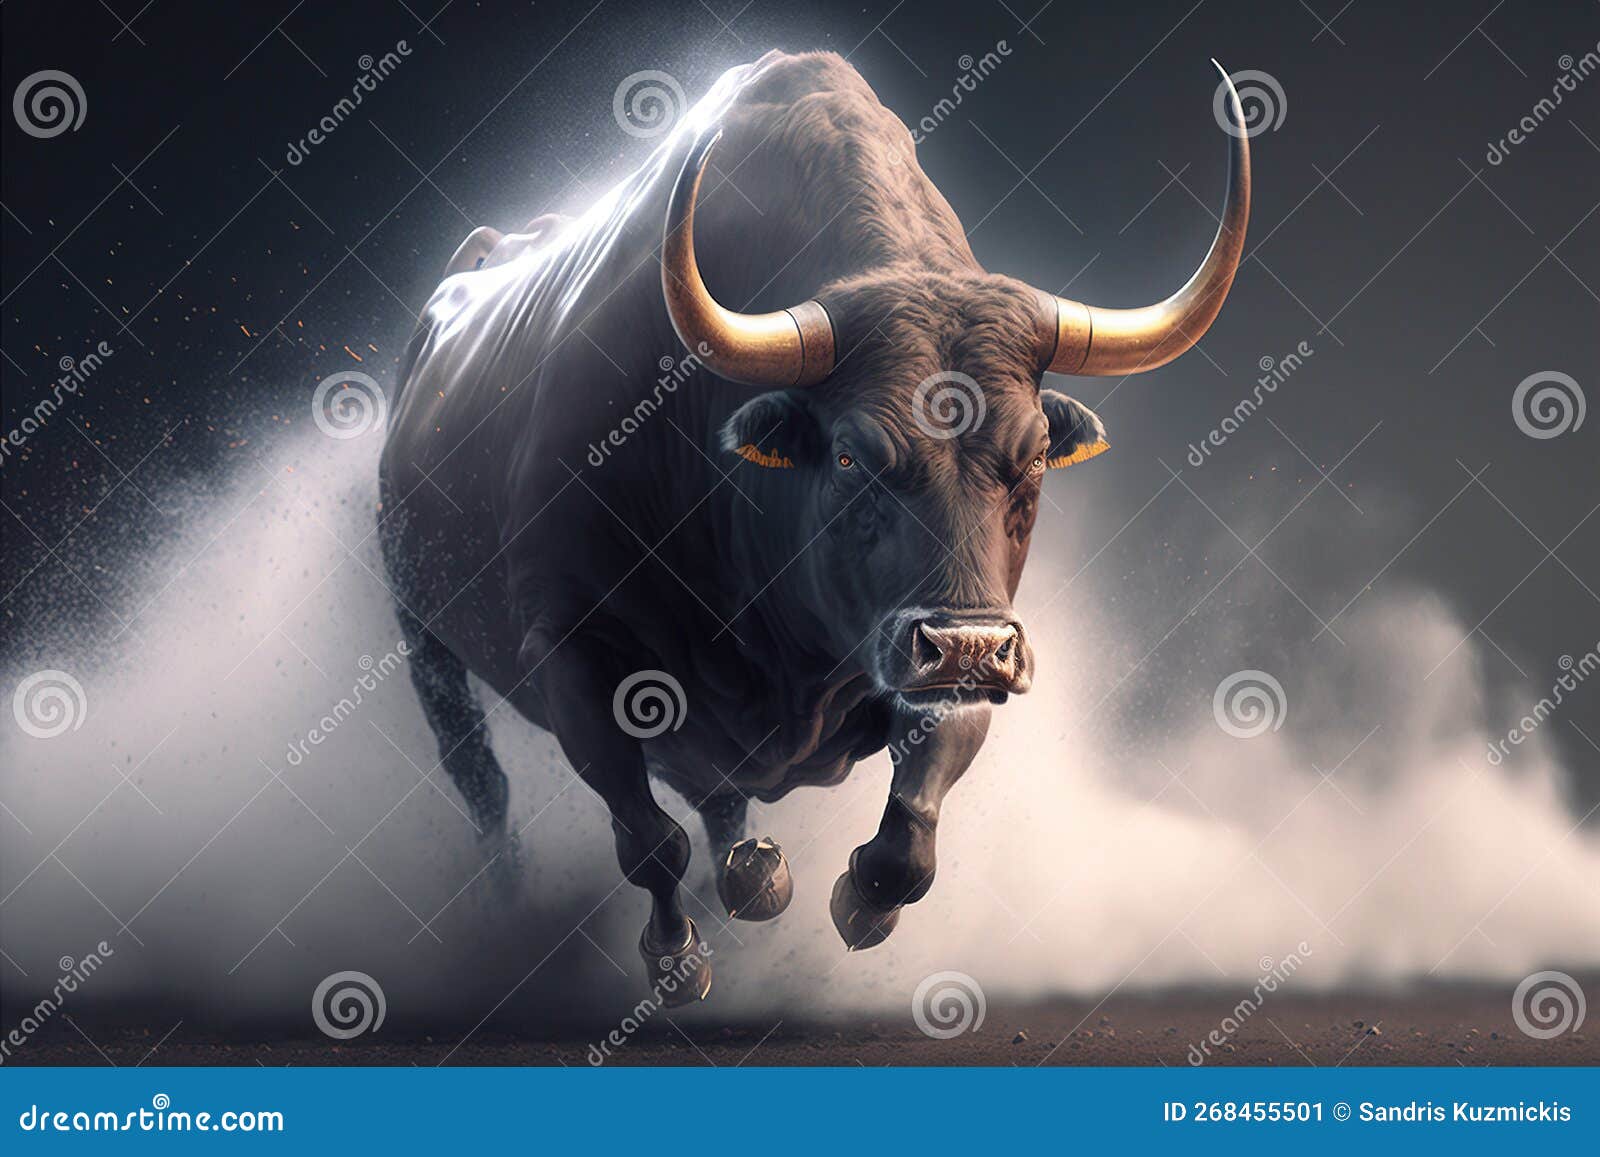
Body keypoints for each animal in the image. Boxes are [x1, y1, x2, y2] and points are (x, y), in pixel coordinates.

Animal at [378, 50, 1249, 1004]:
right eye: (849, 457)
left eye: (1030, 459)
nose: (971, 645)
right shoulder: (568, 646)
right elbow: (645, 837)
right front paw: (677, 957)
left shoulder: (939, 656)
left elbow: (911, 826)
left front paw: (856, 898)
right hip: (424, 638)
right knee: (484, 783)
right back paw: (516, 905)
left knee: (718, 800)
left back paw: (750, 877)